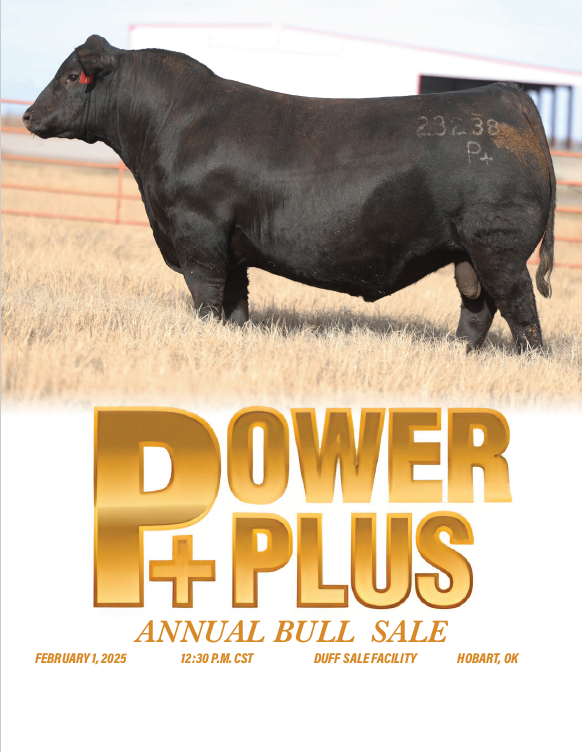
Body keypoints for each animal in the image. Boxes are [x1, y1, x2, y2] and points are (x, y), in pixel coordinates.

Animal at [23, 35, 556, 352]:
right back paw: (458, 352)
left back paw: (525, 359)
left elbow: (206, 298)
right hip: (469, 252)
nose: (27, 115)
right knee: (477, 308)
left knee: (520, 309)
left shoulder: (198, 236)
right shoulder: (233, 247)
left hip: (499, 246)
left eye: (72, 76)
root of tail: (508, 94)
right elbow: (235, 303)